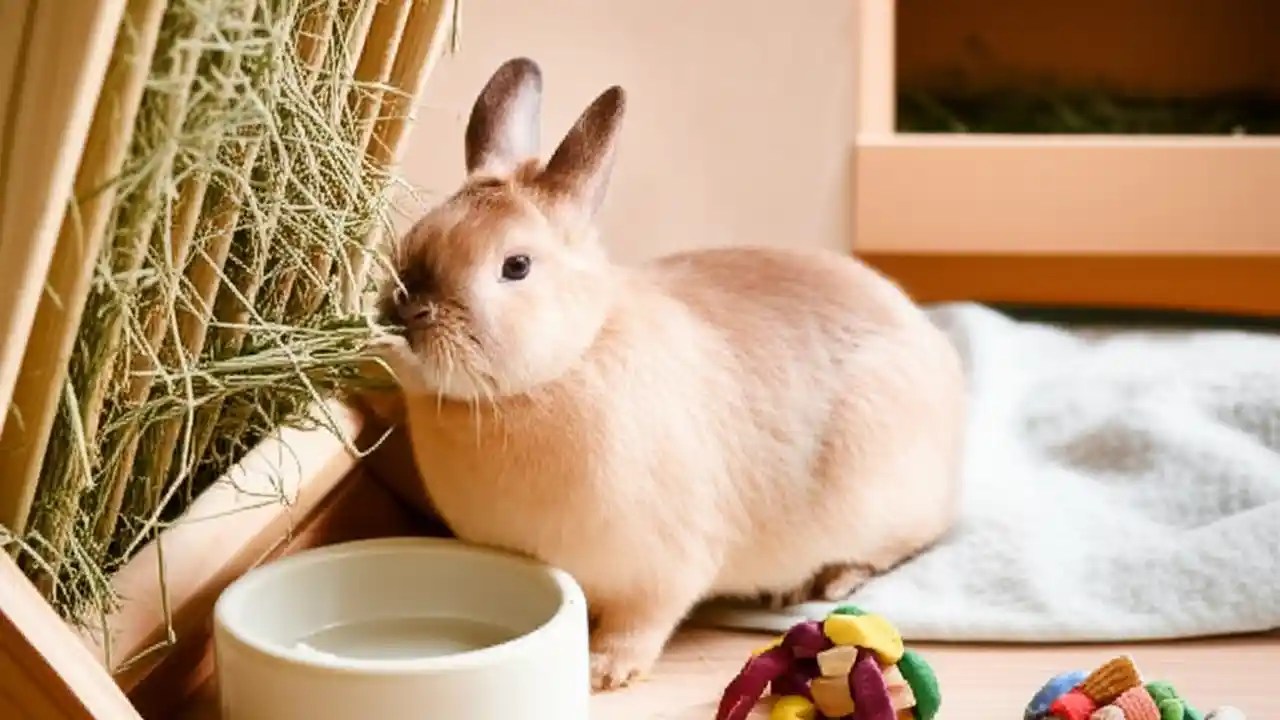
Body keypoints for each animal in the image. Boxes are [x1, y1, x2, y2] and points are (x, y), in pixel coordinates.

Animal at [370, 57, 966, 691]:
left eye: (517, 266)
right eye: (413, 236)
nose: (407, 312)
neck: (562, 366)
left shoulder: (662, 570)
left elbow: (643, 622)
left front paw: (604, 671)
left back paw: (821, 581)